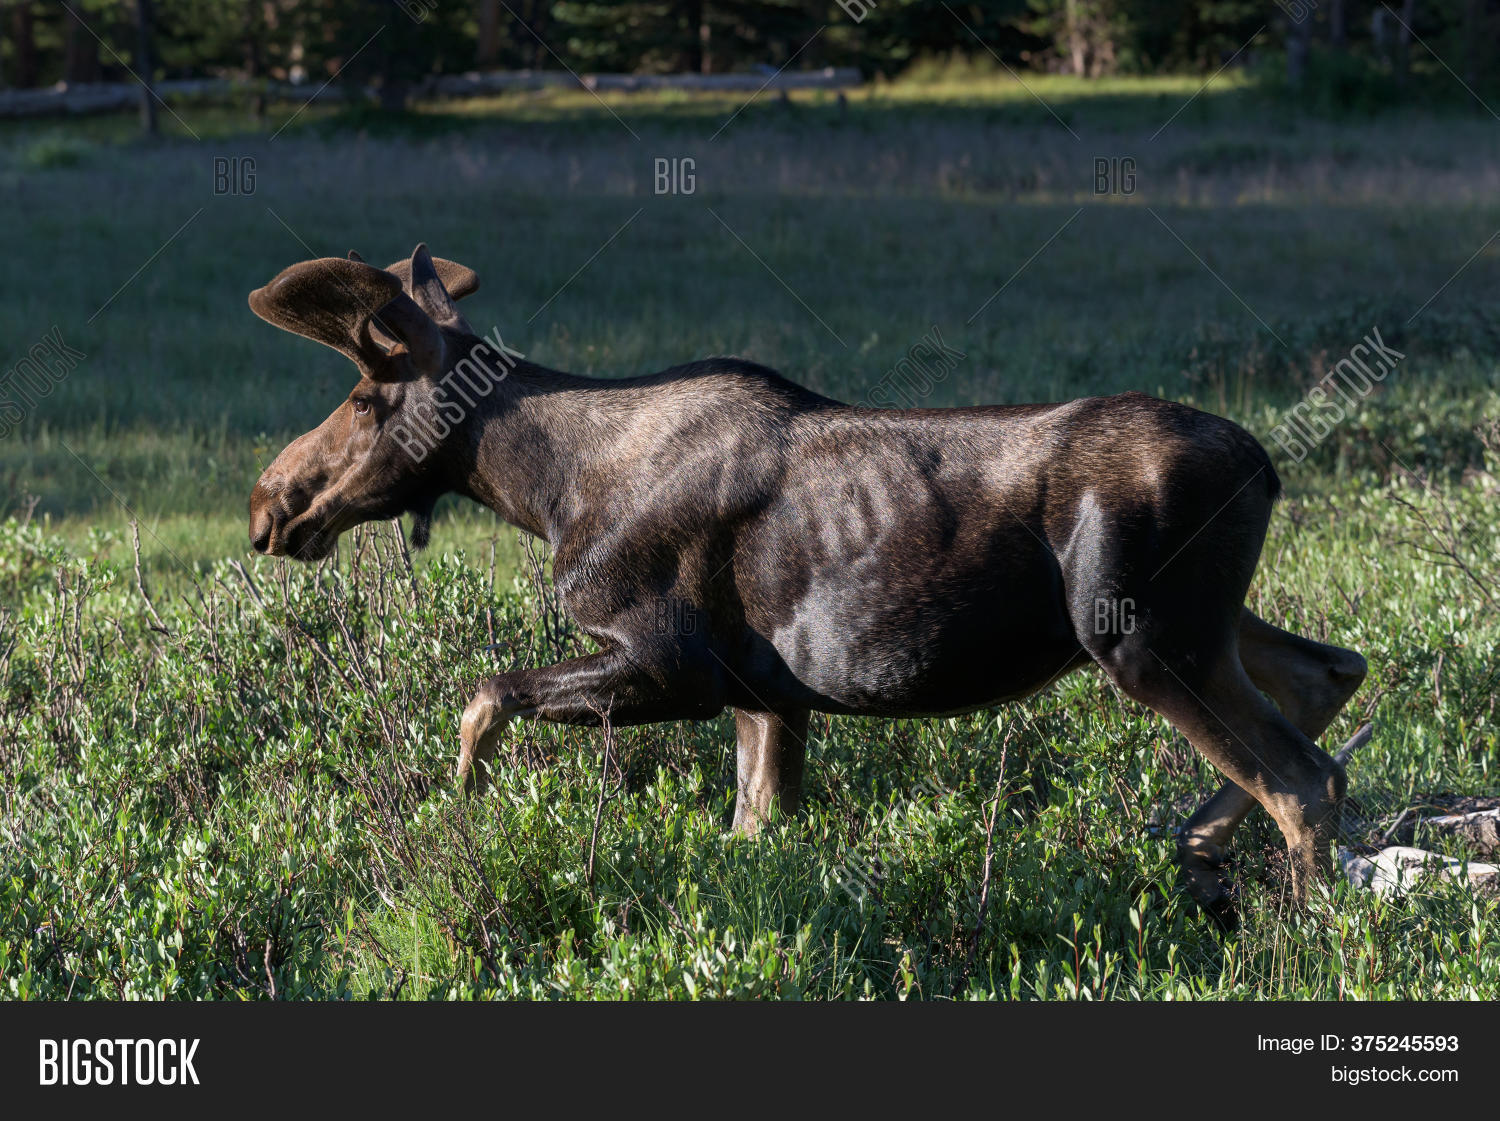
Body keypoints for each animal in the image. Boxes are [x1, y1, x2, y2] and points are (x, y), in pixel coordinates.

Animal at [247, 245, 1370, 929]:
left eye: (362, 397)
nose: (269, 501)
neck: (547, 491)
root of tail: (1268, 465)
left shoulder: (675, 666)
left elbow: (482, 697)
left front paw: (458, 821)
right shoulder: (767, 696)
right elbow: (752, 834)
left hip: (1135, 633)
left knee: (1303, 779)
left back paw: (1302, 932)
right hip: (1202, 624)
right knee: (1330, 670)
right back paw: (1199, 848)